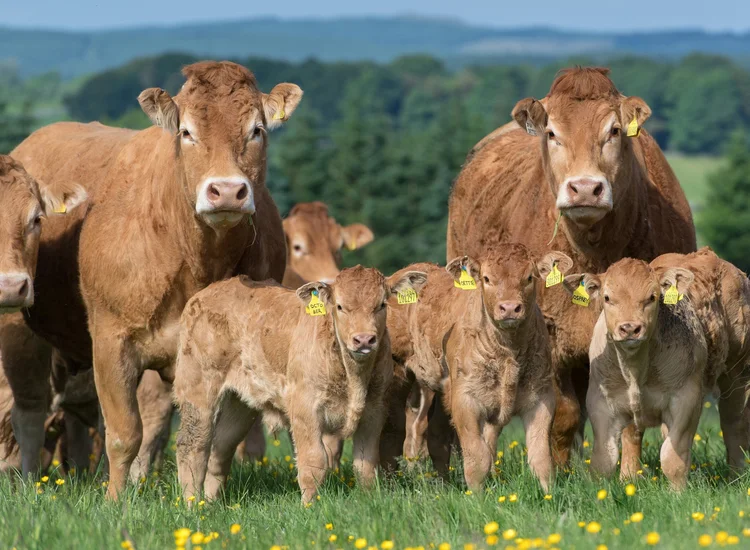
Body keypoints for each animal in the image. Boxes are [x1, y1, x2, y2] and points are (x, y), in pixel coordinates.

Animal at [12, 61, 302, 497]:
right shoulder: (110, 340)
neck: (197, 260)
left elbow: (215, 438)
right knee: (29, 413)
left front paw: (206, 500)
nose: (227, 191)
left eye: (256, 130)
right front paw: (115, 500)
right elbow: (123, 433)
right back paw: (31, 480)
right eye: (187, 132)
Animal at [174, 266, 426, 503]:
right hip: (198, 389)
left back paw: (210, 502)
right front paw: (309, 505)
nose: (364, 339)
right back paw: (193, 505)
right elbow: (314, 461)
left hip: (239, 405)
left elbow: (365, 465)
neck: (354, 376)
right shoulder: (305, 409)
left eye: (382, 304)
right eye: (340, 307)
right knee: (193, 446)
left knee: (220, 449)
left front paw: (368, 500)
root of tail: (204, 294)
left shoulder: (374, 412)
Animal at [446, 67, 696, 463]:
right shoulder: (550, 335)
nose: (585, 188)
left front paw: (630, 470)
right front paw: (560, 470)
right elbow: (563, 415)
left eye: (613, 130)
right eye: (552, 133)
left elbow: (632, 416)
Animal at [566, 258, 707, 488]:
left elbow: (672, 458)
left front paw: (677, 492)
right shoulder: (601, 402)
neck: (635, 372)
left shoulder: (687, 400)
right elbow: (603, 460)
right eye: (607, 297)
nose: (630, 328)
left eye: (652, 297)